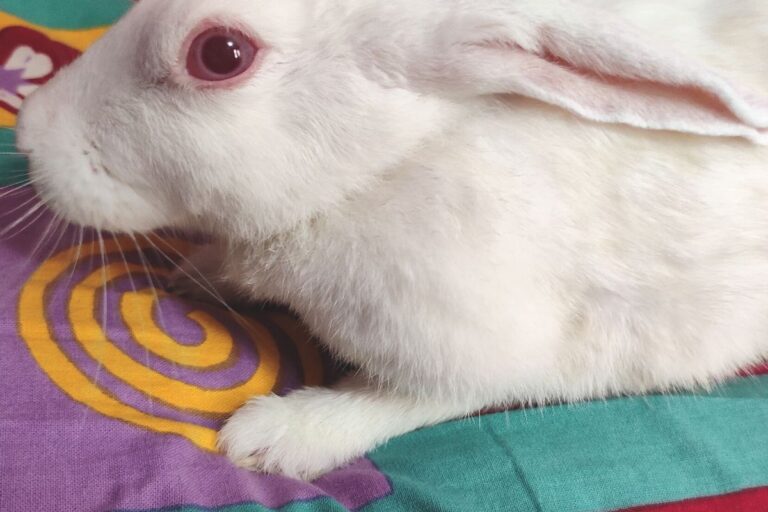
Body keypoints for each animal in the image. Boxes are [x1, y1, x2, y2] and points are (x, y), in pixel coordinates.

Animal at [14, 0, 768, 480]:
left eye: (220, 54)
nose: (27, 137)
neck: (380, 167)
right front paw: (193, 271)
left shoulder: (482, 343)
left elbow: (410, 400)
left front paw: (273, 439)